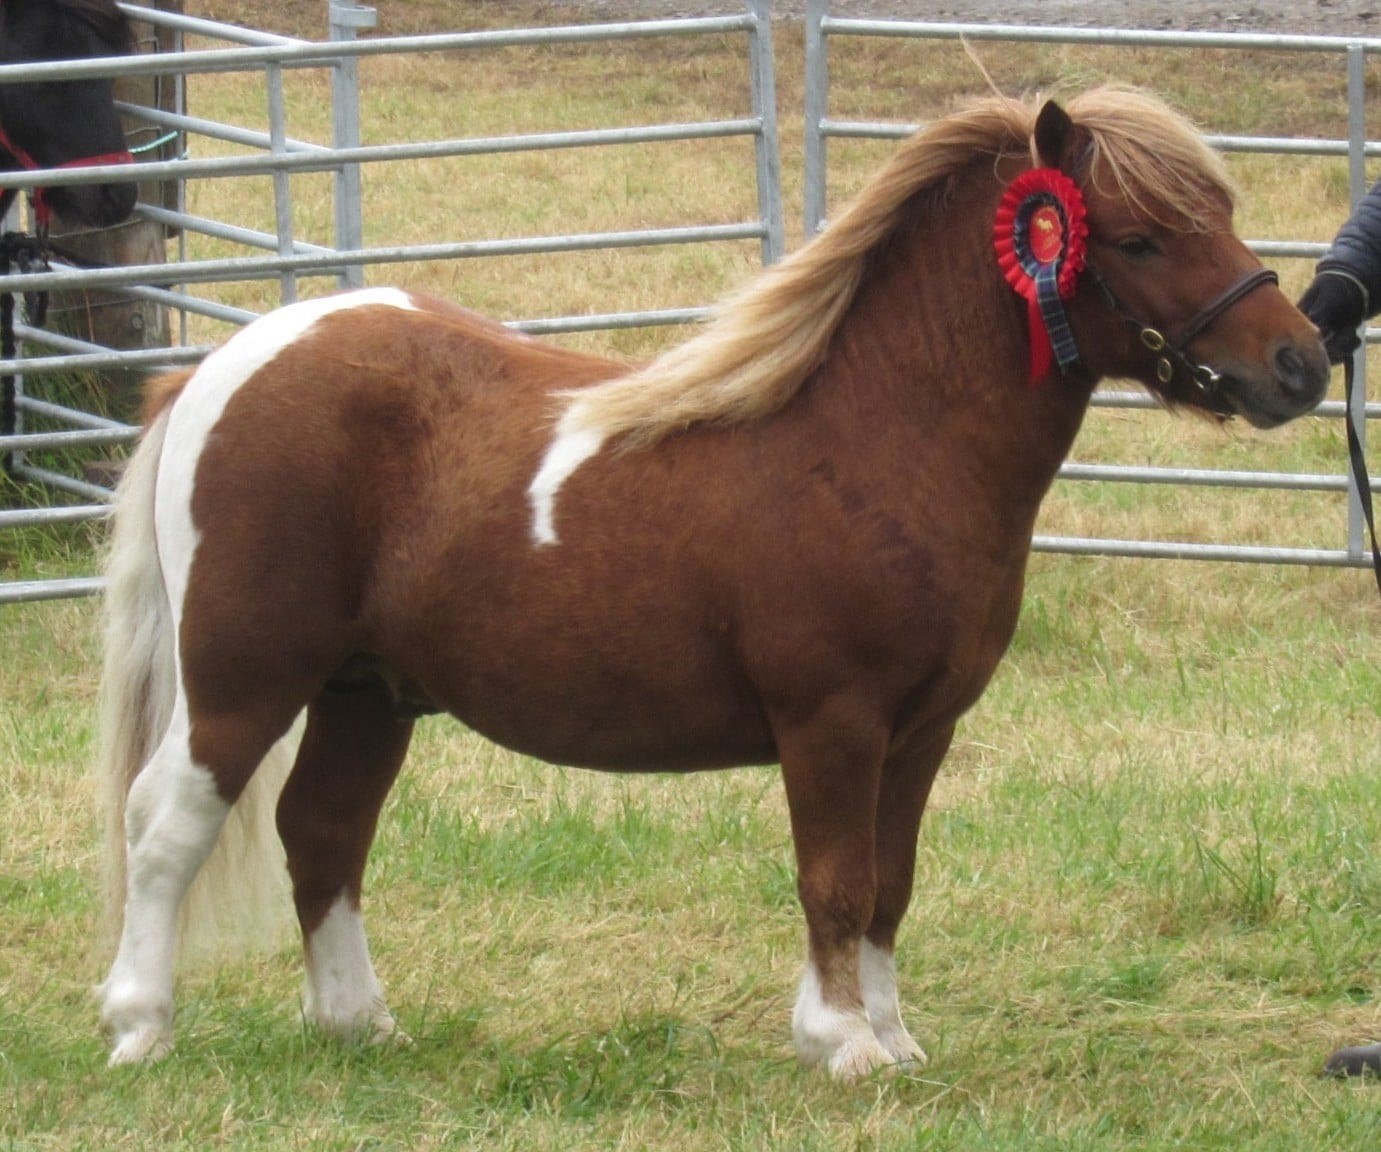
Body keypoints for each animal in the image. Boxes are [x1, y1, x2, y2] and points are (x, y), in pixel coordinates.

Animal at [93, 85, 1329, 1076]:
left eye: (1219, 216)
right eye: (1140, 238)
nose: (1301, 364)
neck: (877, 441)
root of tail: (223, 367)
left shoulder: (919, 732)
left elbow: (889, 882)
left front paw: (893, 1037)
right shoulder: (832, 722)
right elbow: (834, 878)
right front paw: (842, 1045)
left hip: (366, 690)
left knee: (324, 833)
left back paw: (361, 1027)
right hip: (246, 676)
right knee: (168, 823)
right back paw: (140, 1027)